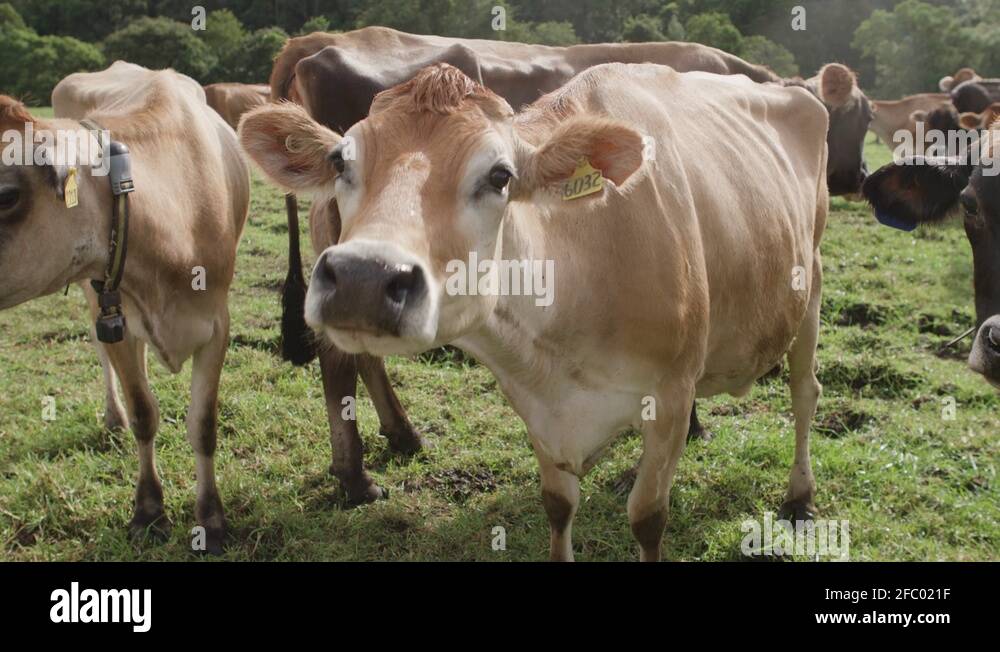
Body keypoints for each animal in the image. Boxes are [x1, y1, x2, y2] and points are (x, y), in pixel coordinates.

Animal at [2, 62, 250, 553]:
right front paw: (149, 511)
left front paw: (211, 519)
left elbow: (203, 424)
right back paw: (111, 416)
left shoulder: (217, 324)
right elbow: (143, 414)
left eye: (5, 196)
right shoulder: (113, 315)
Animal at [238, 62, 830, 560]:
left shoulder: (671, 392)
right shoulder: (535, 402)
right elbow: (558, 505)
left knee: (806, 392)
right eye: (340, 161)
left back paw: (799, 497)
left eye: (500, 175)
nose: (363, 277)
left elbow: (648, 518)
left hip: (812, 280)